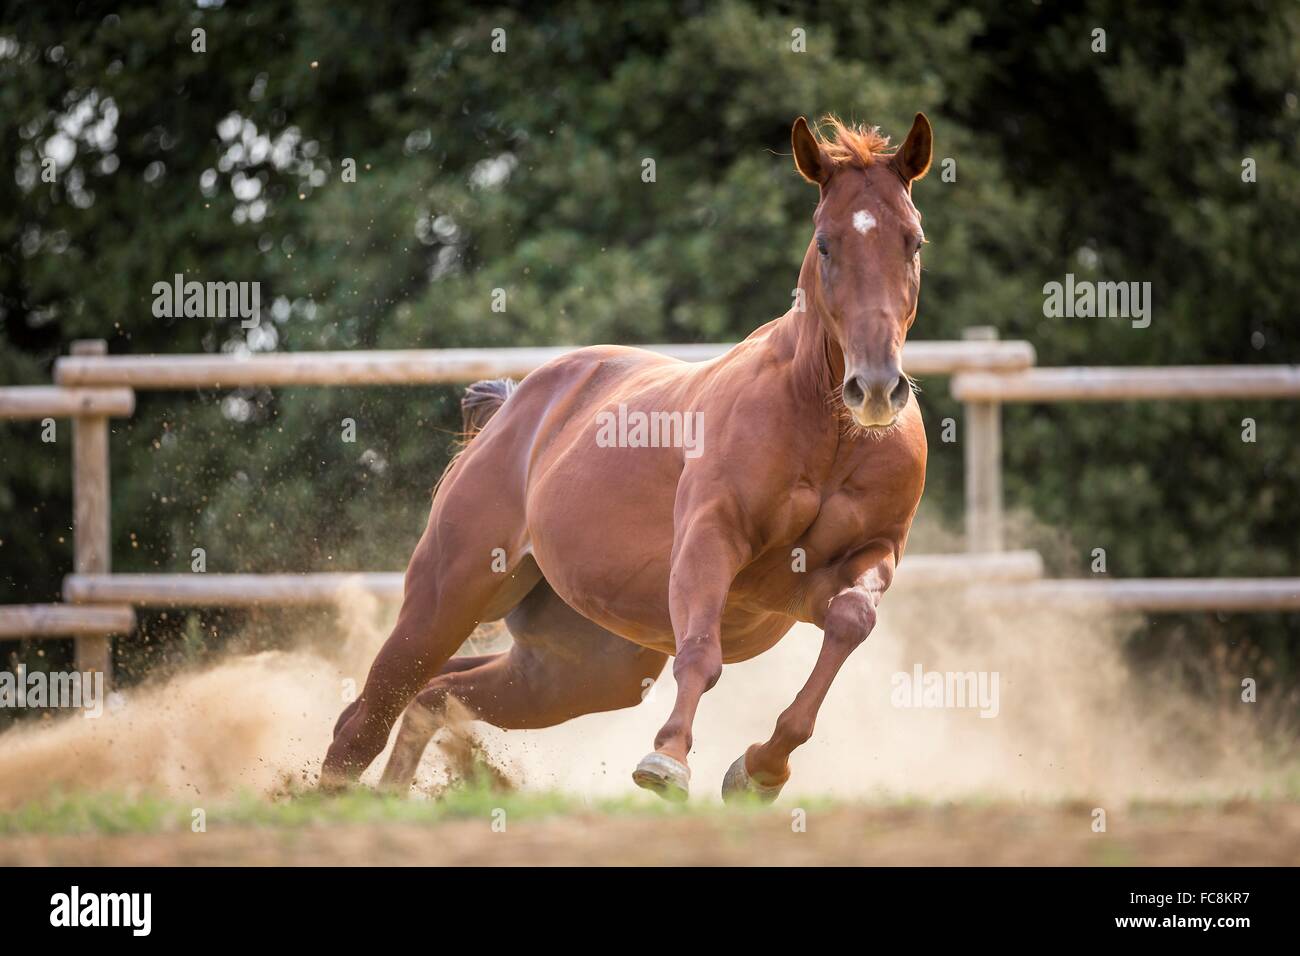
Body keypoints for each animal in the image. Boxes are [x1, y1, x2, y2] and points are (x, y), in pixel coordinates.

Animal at [321, 112, 933, 802]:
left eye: (912, 241)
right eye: (826, 244)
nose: (876, 387)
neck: (827, 429)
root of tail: (517, 405)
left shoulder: (857, 561)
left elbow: (850, 622)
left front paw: (760, 769)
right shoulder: (710, 540)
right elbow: (701, 654)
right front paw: (667, 762)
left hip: (573, 671)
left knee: (433, 694)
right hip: (446, 596)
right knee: (373, 711)